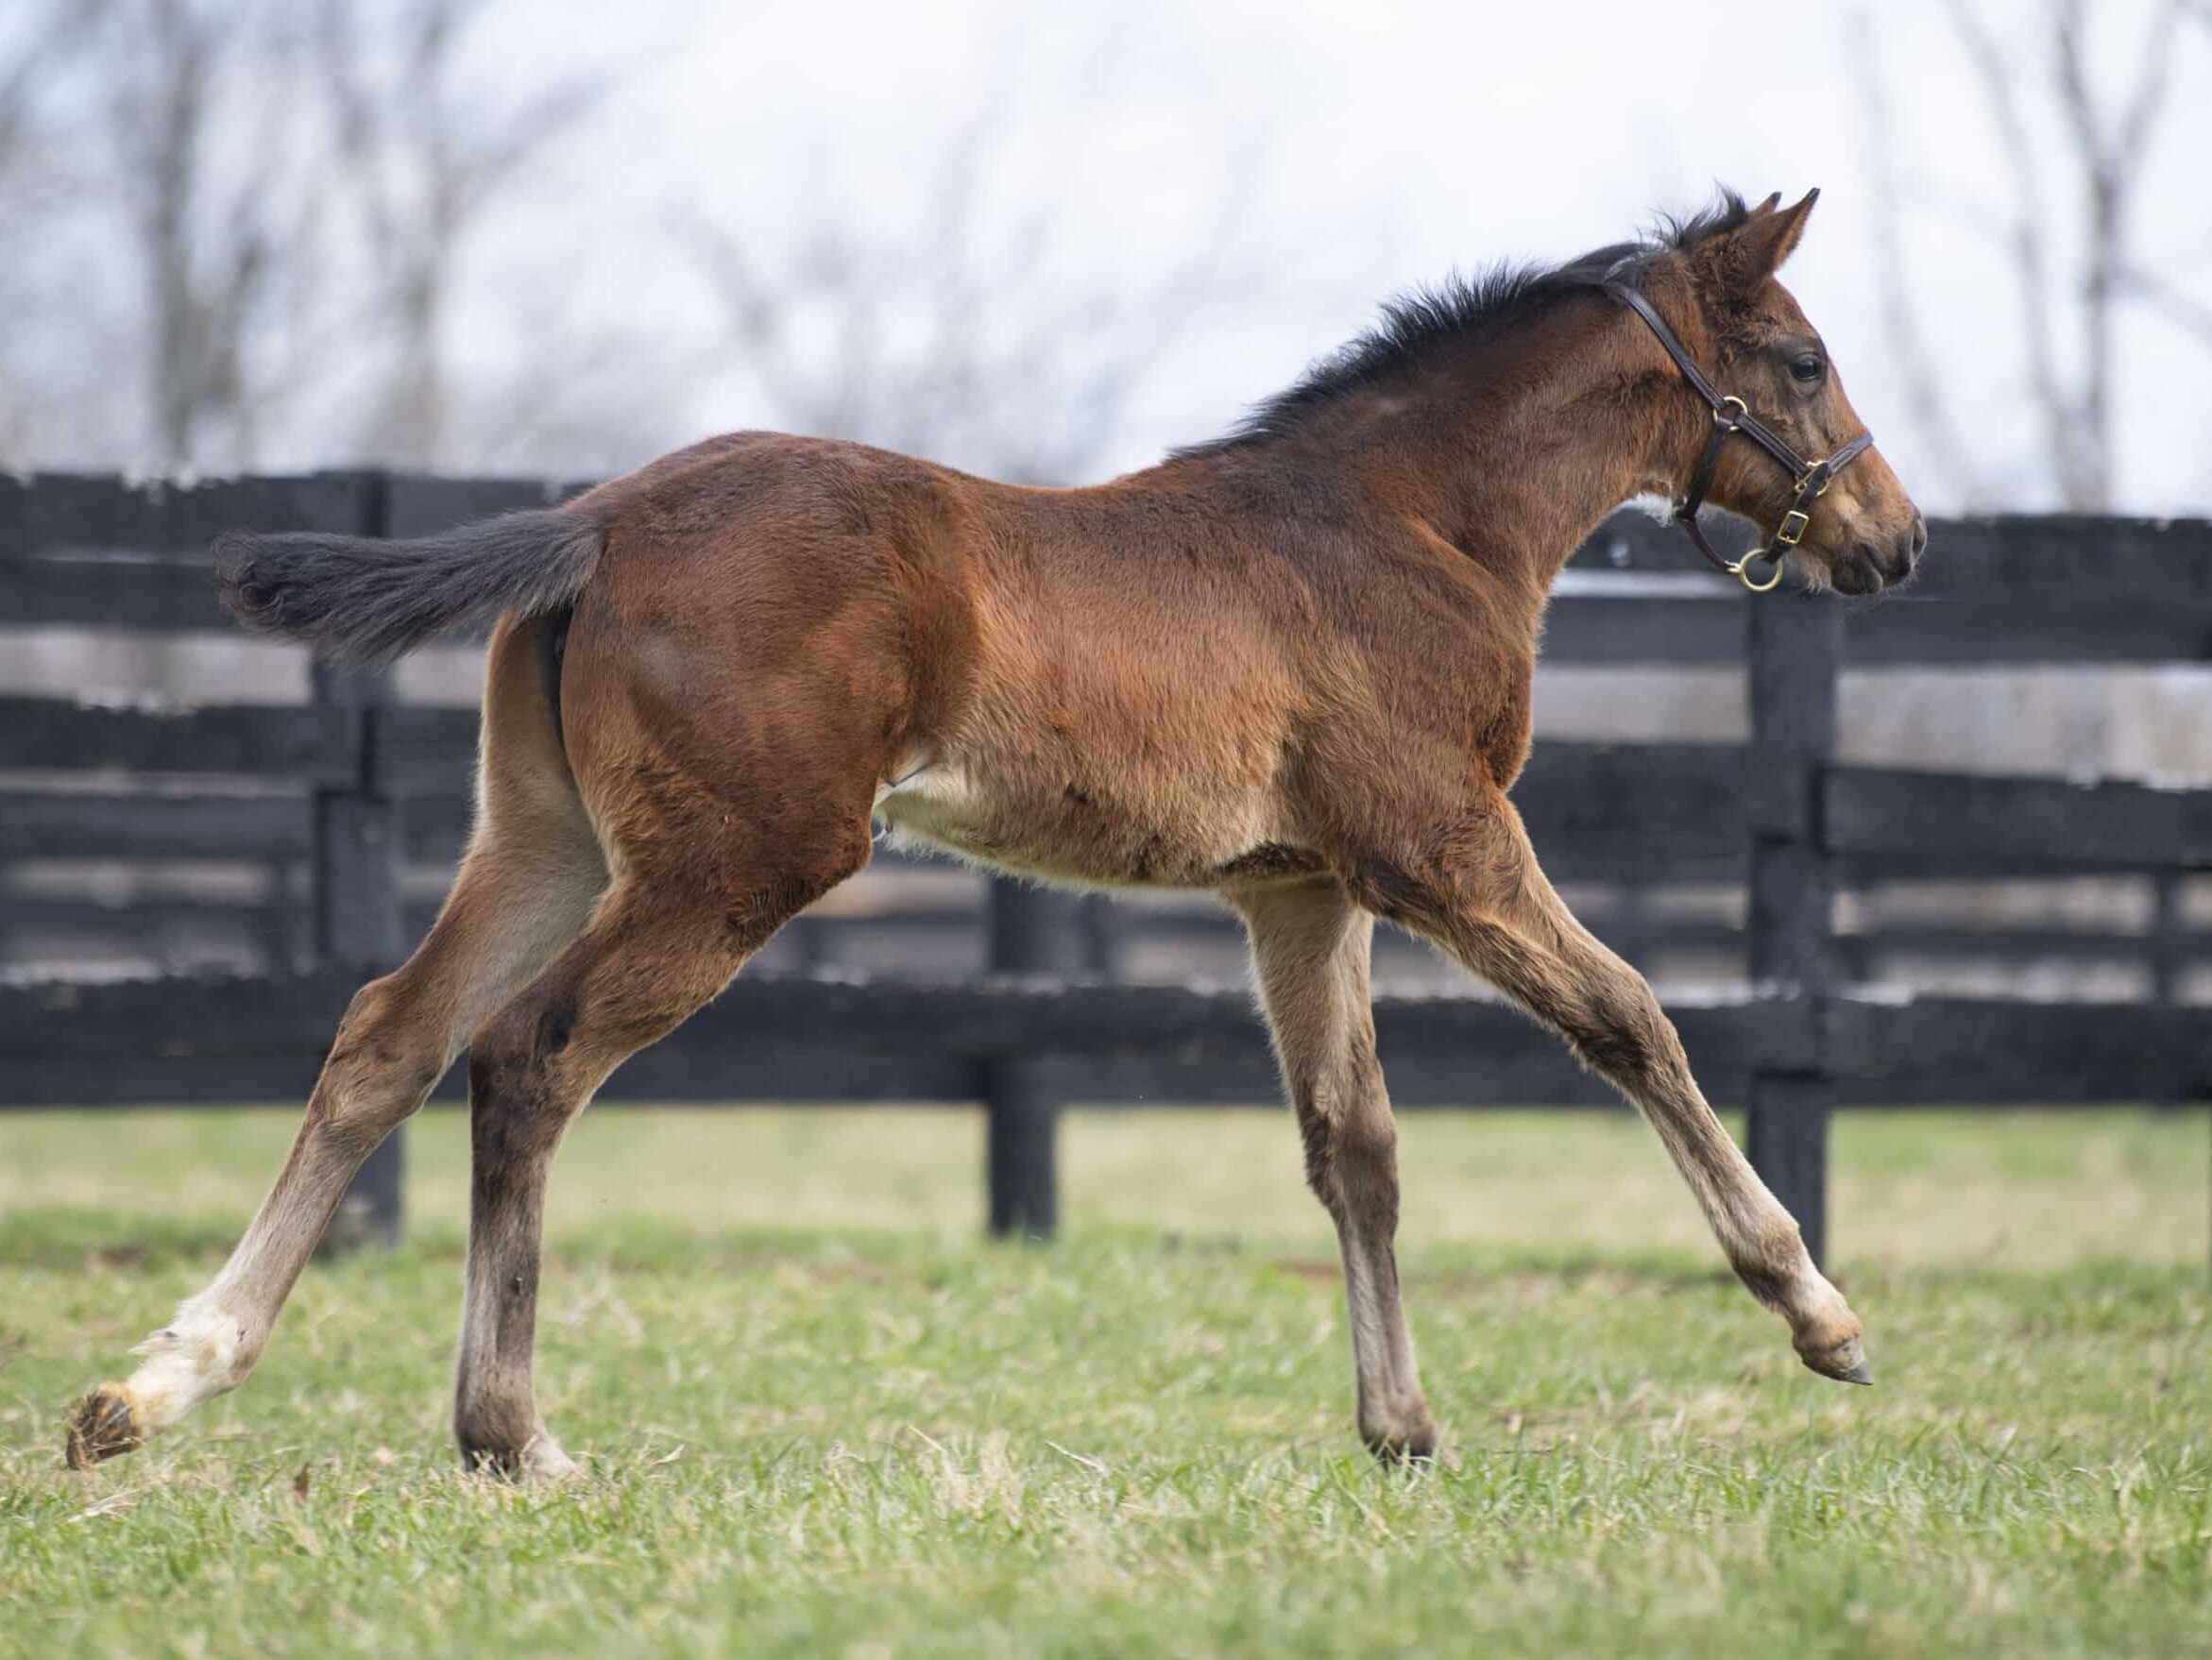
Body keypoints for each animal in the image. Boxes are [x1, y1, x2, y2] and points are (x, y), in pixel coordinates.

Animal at [67, 188, 1923, 1475]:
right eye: (1804, 358)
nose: (1894, 541)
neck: (1402, 525)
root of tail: (596, 517)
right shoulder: (1440, 843)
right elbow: (1628, 1017)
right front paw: (1817, 1312)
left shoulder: (1299, 892)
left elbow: (1356, 1146)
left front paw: (1398, 1429)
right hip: (735, 864)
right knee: (526, 1055)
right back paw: (506, 1432)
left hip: (546, 843)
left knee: (388, 1034)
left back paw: (158, 1382)